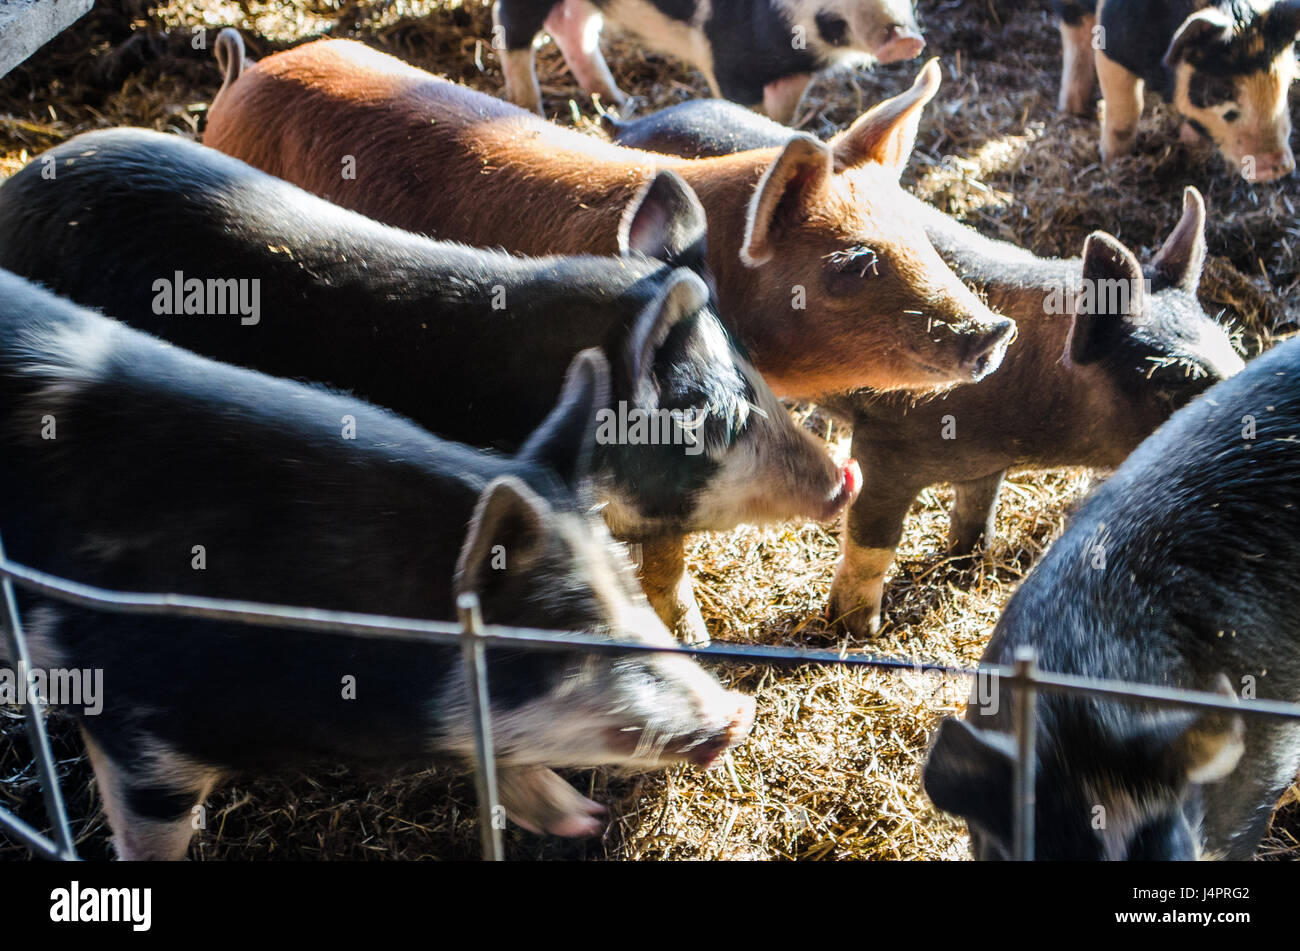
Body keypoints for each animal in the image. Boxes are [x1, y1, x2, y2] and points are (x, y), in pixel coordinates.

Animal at [487, 0, 924, 120]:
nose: (907, 40)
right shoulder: (728, 61)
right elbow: (745, 105)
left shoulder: (797, 75)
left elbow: (784, 110)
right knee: (511, 25)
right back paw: (530, 107)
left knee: (570, 26)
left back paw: (617, 101)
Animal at [603, 99, 1244, 636]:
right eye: (1173, 381)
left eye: (1234, 352)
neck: (1027, 408)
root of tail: (631, 122)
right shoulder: (886, 443)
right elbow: (874, 540)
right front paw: (860, 632)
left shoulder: (986, 463)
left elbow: (977, 510)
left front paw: (967, 562)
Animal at [1054, 0, 1300, 182]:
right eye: (1220, 90)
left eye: (1287, 82)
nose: (1281, 166)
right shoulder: (1112, 45)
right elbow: (1127, 109)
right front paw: (1114, 161)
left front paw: (1190, 145)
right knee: (1073, 26)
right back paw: (1072, 109)